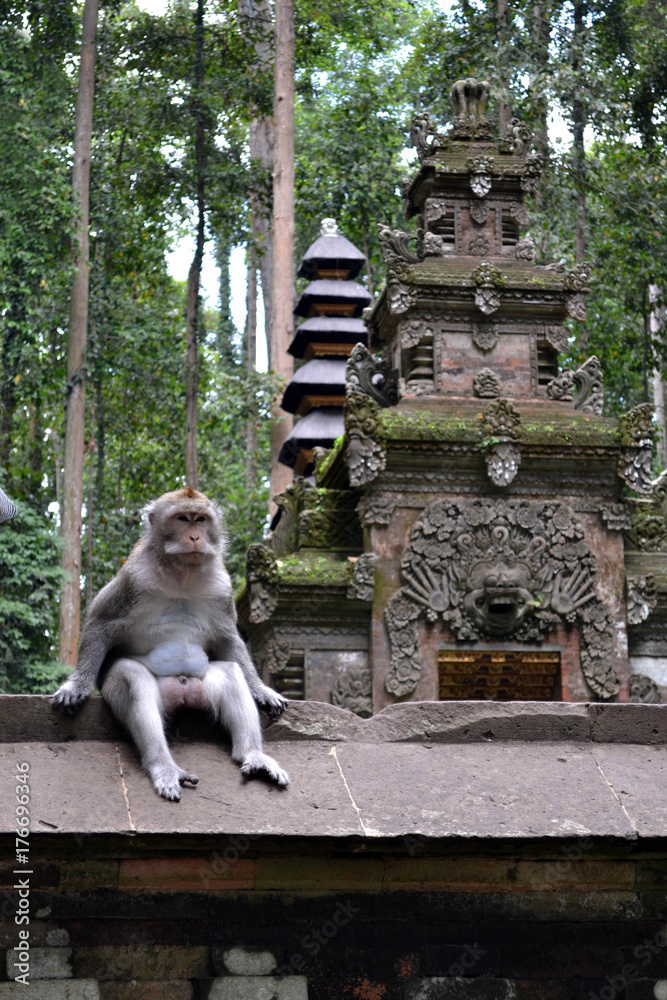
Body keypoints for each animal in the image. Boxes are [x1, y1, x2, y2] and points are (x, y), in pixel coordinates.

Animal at [52, 486, 289, 800]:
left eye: (200, 519)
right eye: (182, 519)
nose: (195, 537)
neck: (182, 575)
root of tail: (182, 691)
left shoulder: (222, 587)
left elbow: (228, 640)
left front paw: (262, 690)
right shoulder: (133, 577)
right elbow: (100, 623)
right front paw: (77, 686)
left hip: (202, 689)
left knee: (230, 671)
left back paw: (253, 755)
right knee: (131, 678)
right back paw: (163, 765)